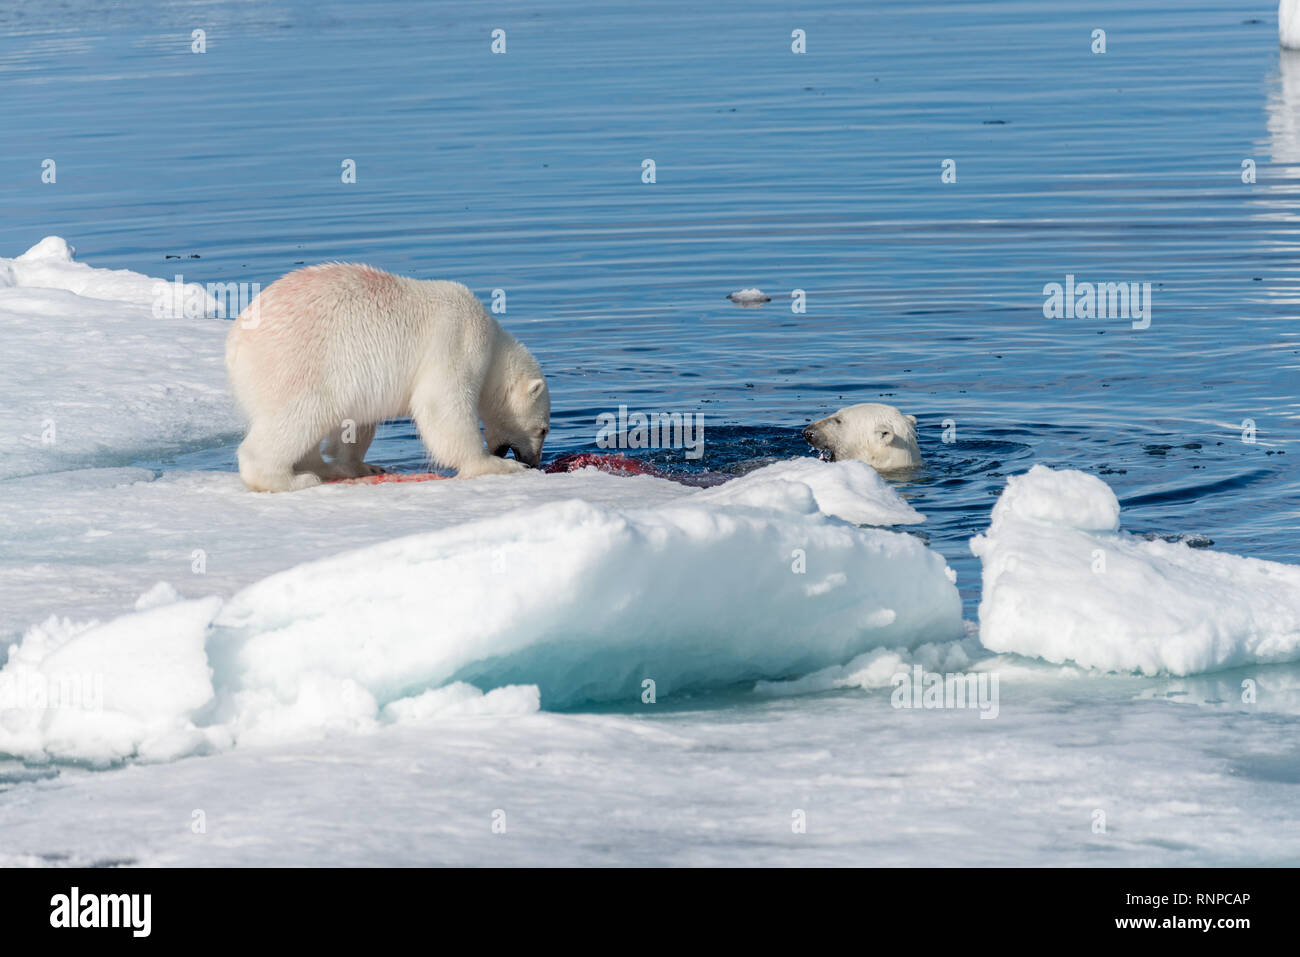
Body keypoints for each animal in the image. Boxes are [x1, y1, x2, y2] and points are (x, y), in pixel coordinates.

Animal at [225, 263, 550, 492]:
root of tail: (235, 344)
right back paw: (292, 479)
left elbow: (355, 425)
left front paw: (361, 466)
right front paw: (494, 464)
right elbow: (440, 405)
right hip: (297, 364)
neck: (493, 343)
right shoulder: (456, 340)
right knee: (298, 416)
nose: (534, 461)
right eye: (544, 429)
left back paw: (326, 470)